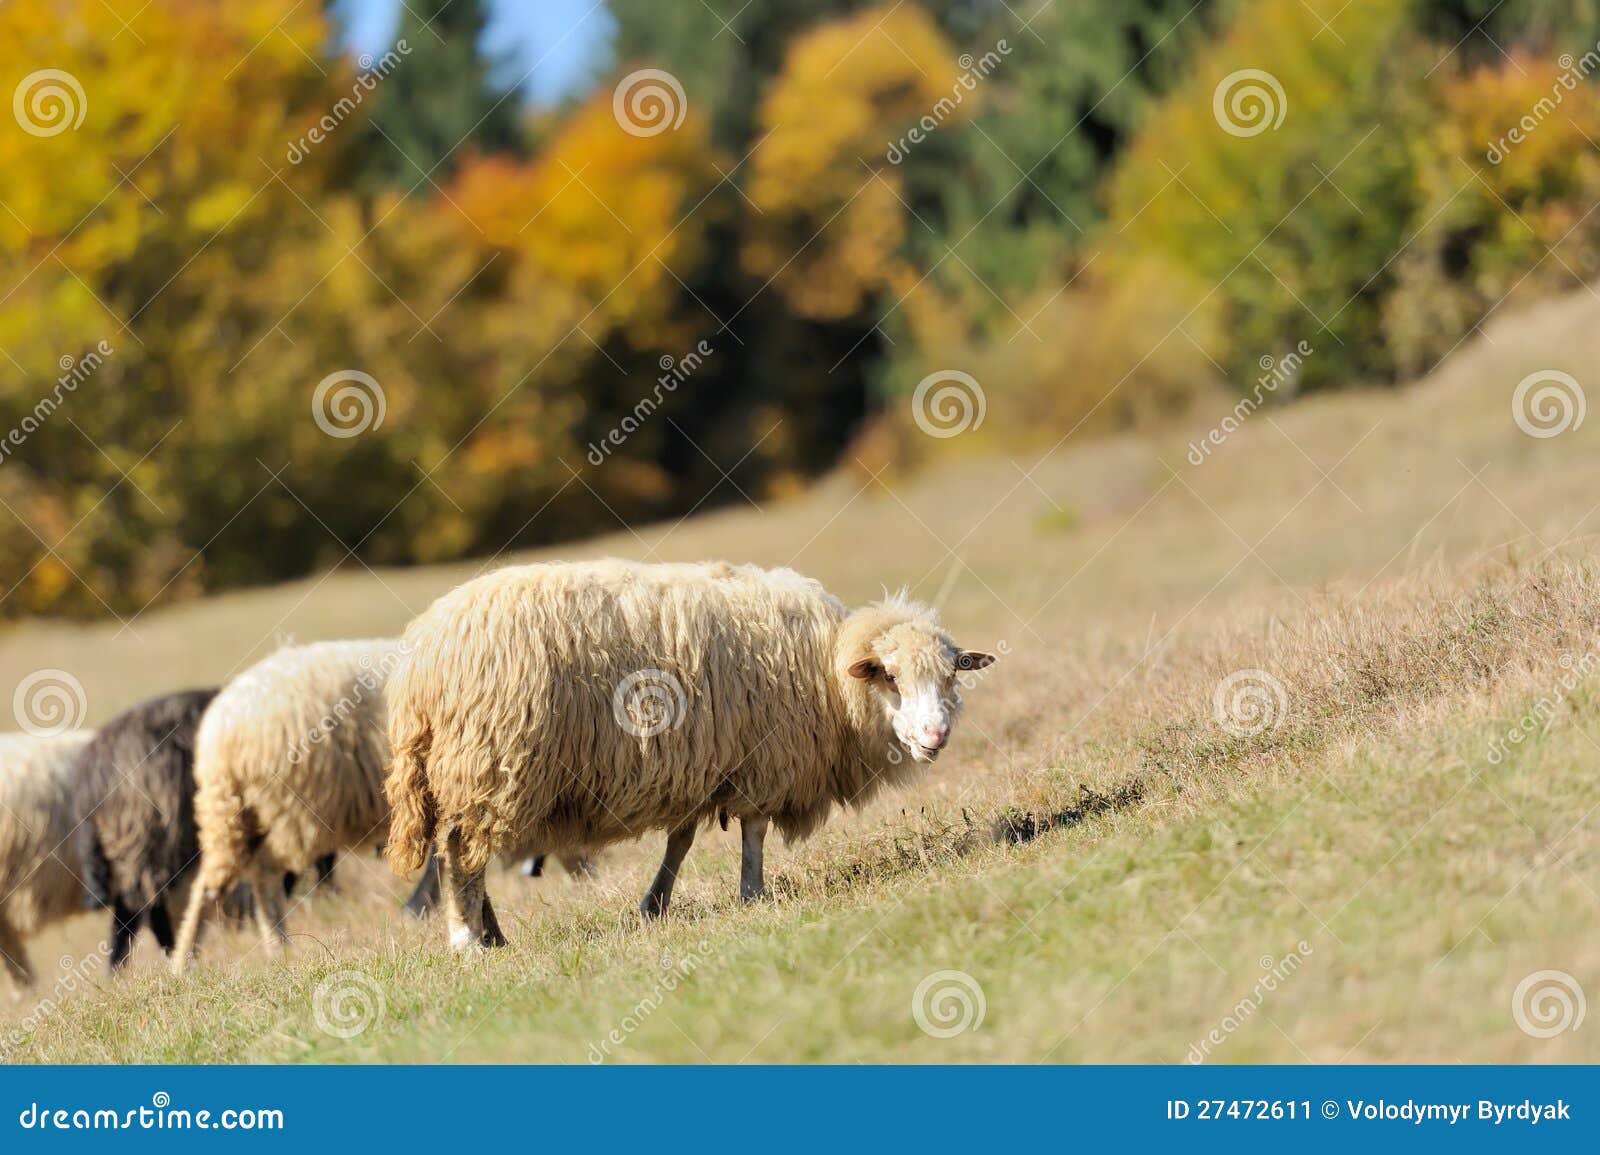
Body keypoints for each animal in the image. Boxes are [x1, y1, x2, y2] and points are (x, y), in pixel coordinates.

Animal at [384, 559, 994, 952]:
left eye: (951, 677)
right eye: (890, 677)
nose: (936, 735)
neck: (826, 669)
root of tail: (423, 659)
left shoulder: (702, 763)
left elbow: (681, 840)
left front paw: (654, 905)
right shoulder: (762, 760)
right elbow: (752, 832)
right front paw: (753, 895)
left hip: (472, 772)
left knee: (464, 850)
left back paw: (494, 935)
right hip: (491, 759)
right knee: (461, 854)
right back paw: (467, 941)